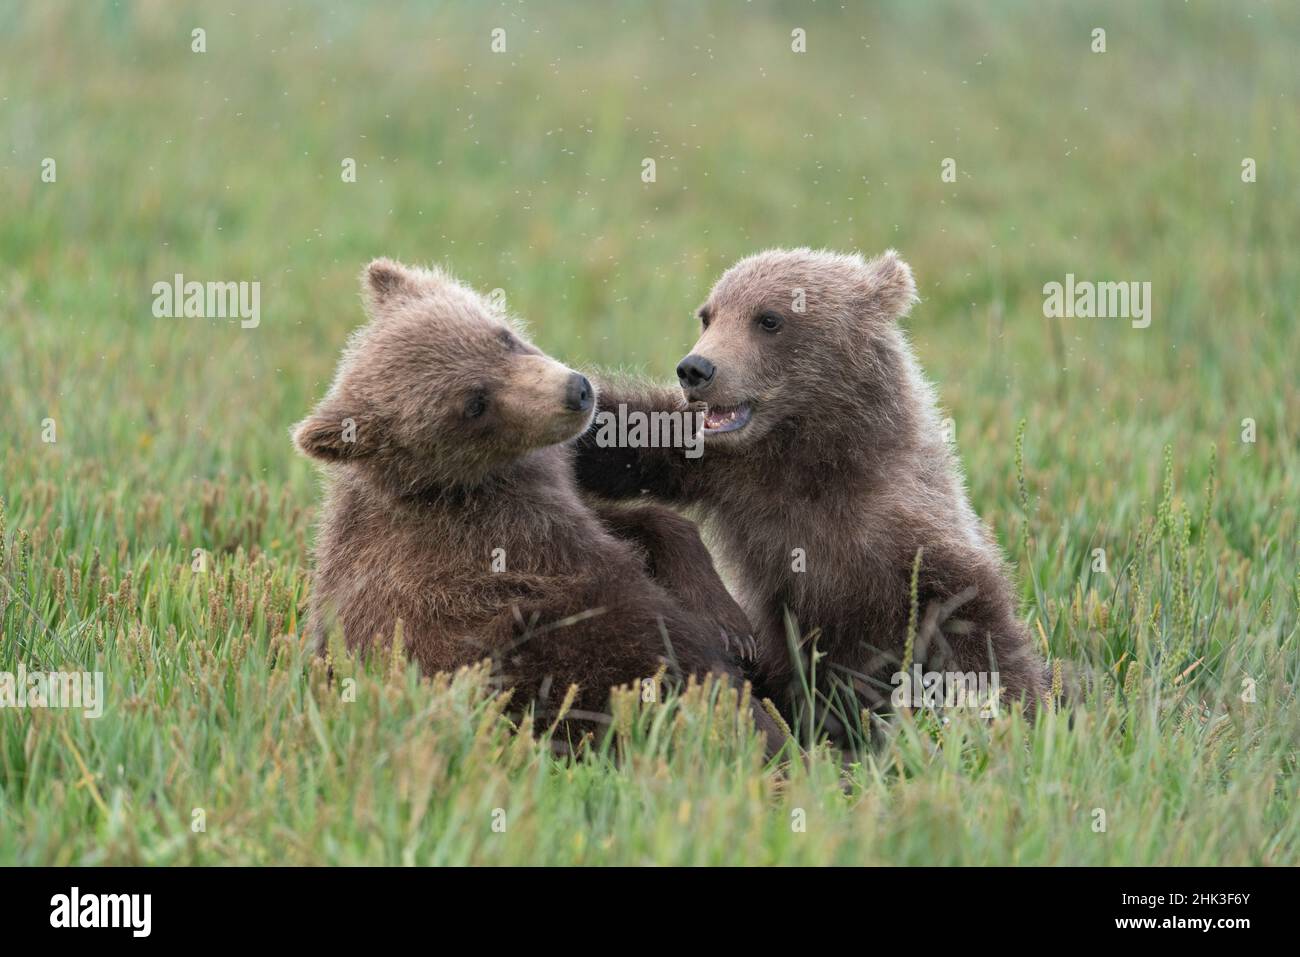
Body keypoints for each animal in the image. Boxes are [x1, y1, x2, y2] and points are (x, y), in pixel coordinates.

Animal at [293, 258, 785, 754]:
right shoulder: (506, 541)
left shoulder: (554, 499)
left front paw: (728, 619)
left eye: (501, 337)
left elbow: (644, 523)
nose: (576, 390)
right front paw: (733, 653)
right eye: (474, 403)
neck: (459, 484)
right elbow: (641, 605)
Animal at [574, 248, 1049, 733]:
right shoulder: (727, 469)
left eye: (768, 319)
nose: (695, 369)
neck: (811, 454)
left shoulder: (902, 527)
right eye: (708, 316)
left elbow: (974, 622)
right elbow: (629, 438)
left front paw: (1018, 713)